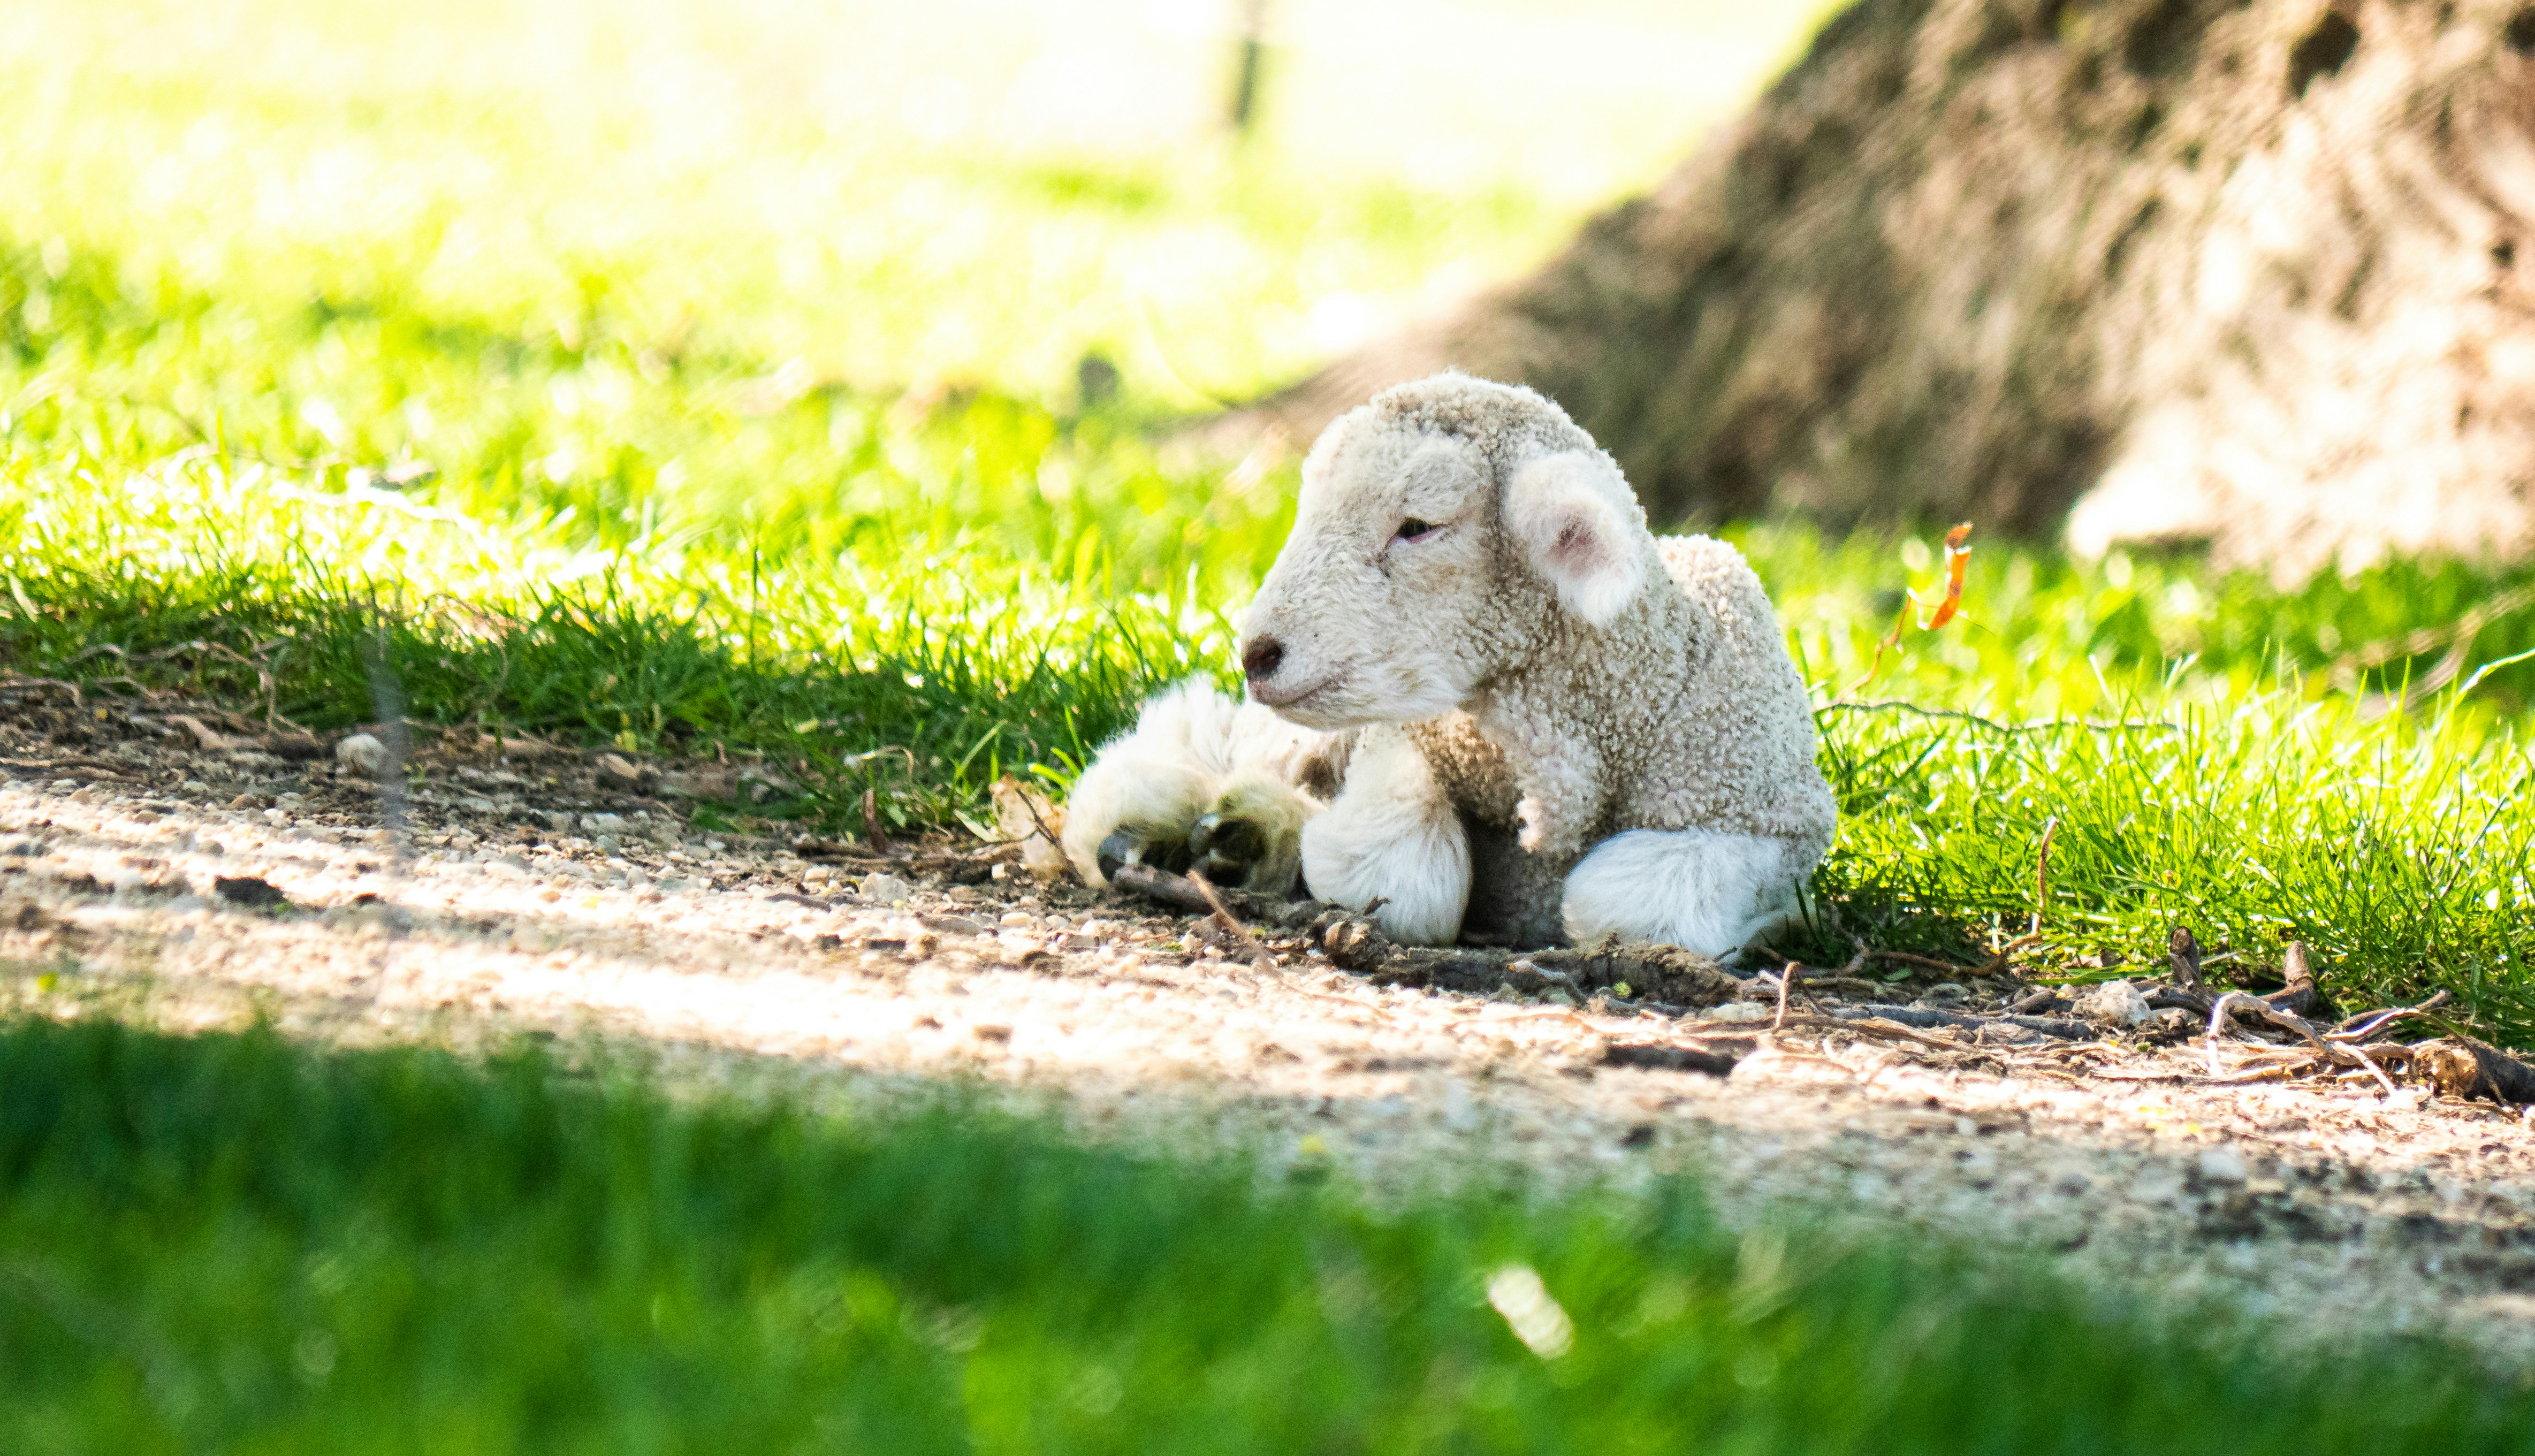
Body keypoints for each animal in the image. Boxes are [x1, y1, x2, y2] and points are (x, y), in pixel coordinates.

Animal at [1060, 373, 1836, 956]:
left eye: (1418, 525)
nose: (1257, 653)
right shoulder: (1406, 738)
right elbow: (1397, 875)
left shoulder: (1773, 823)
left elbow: (1619, 903)